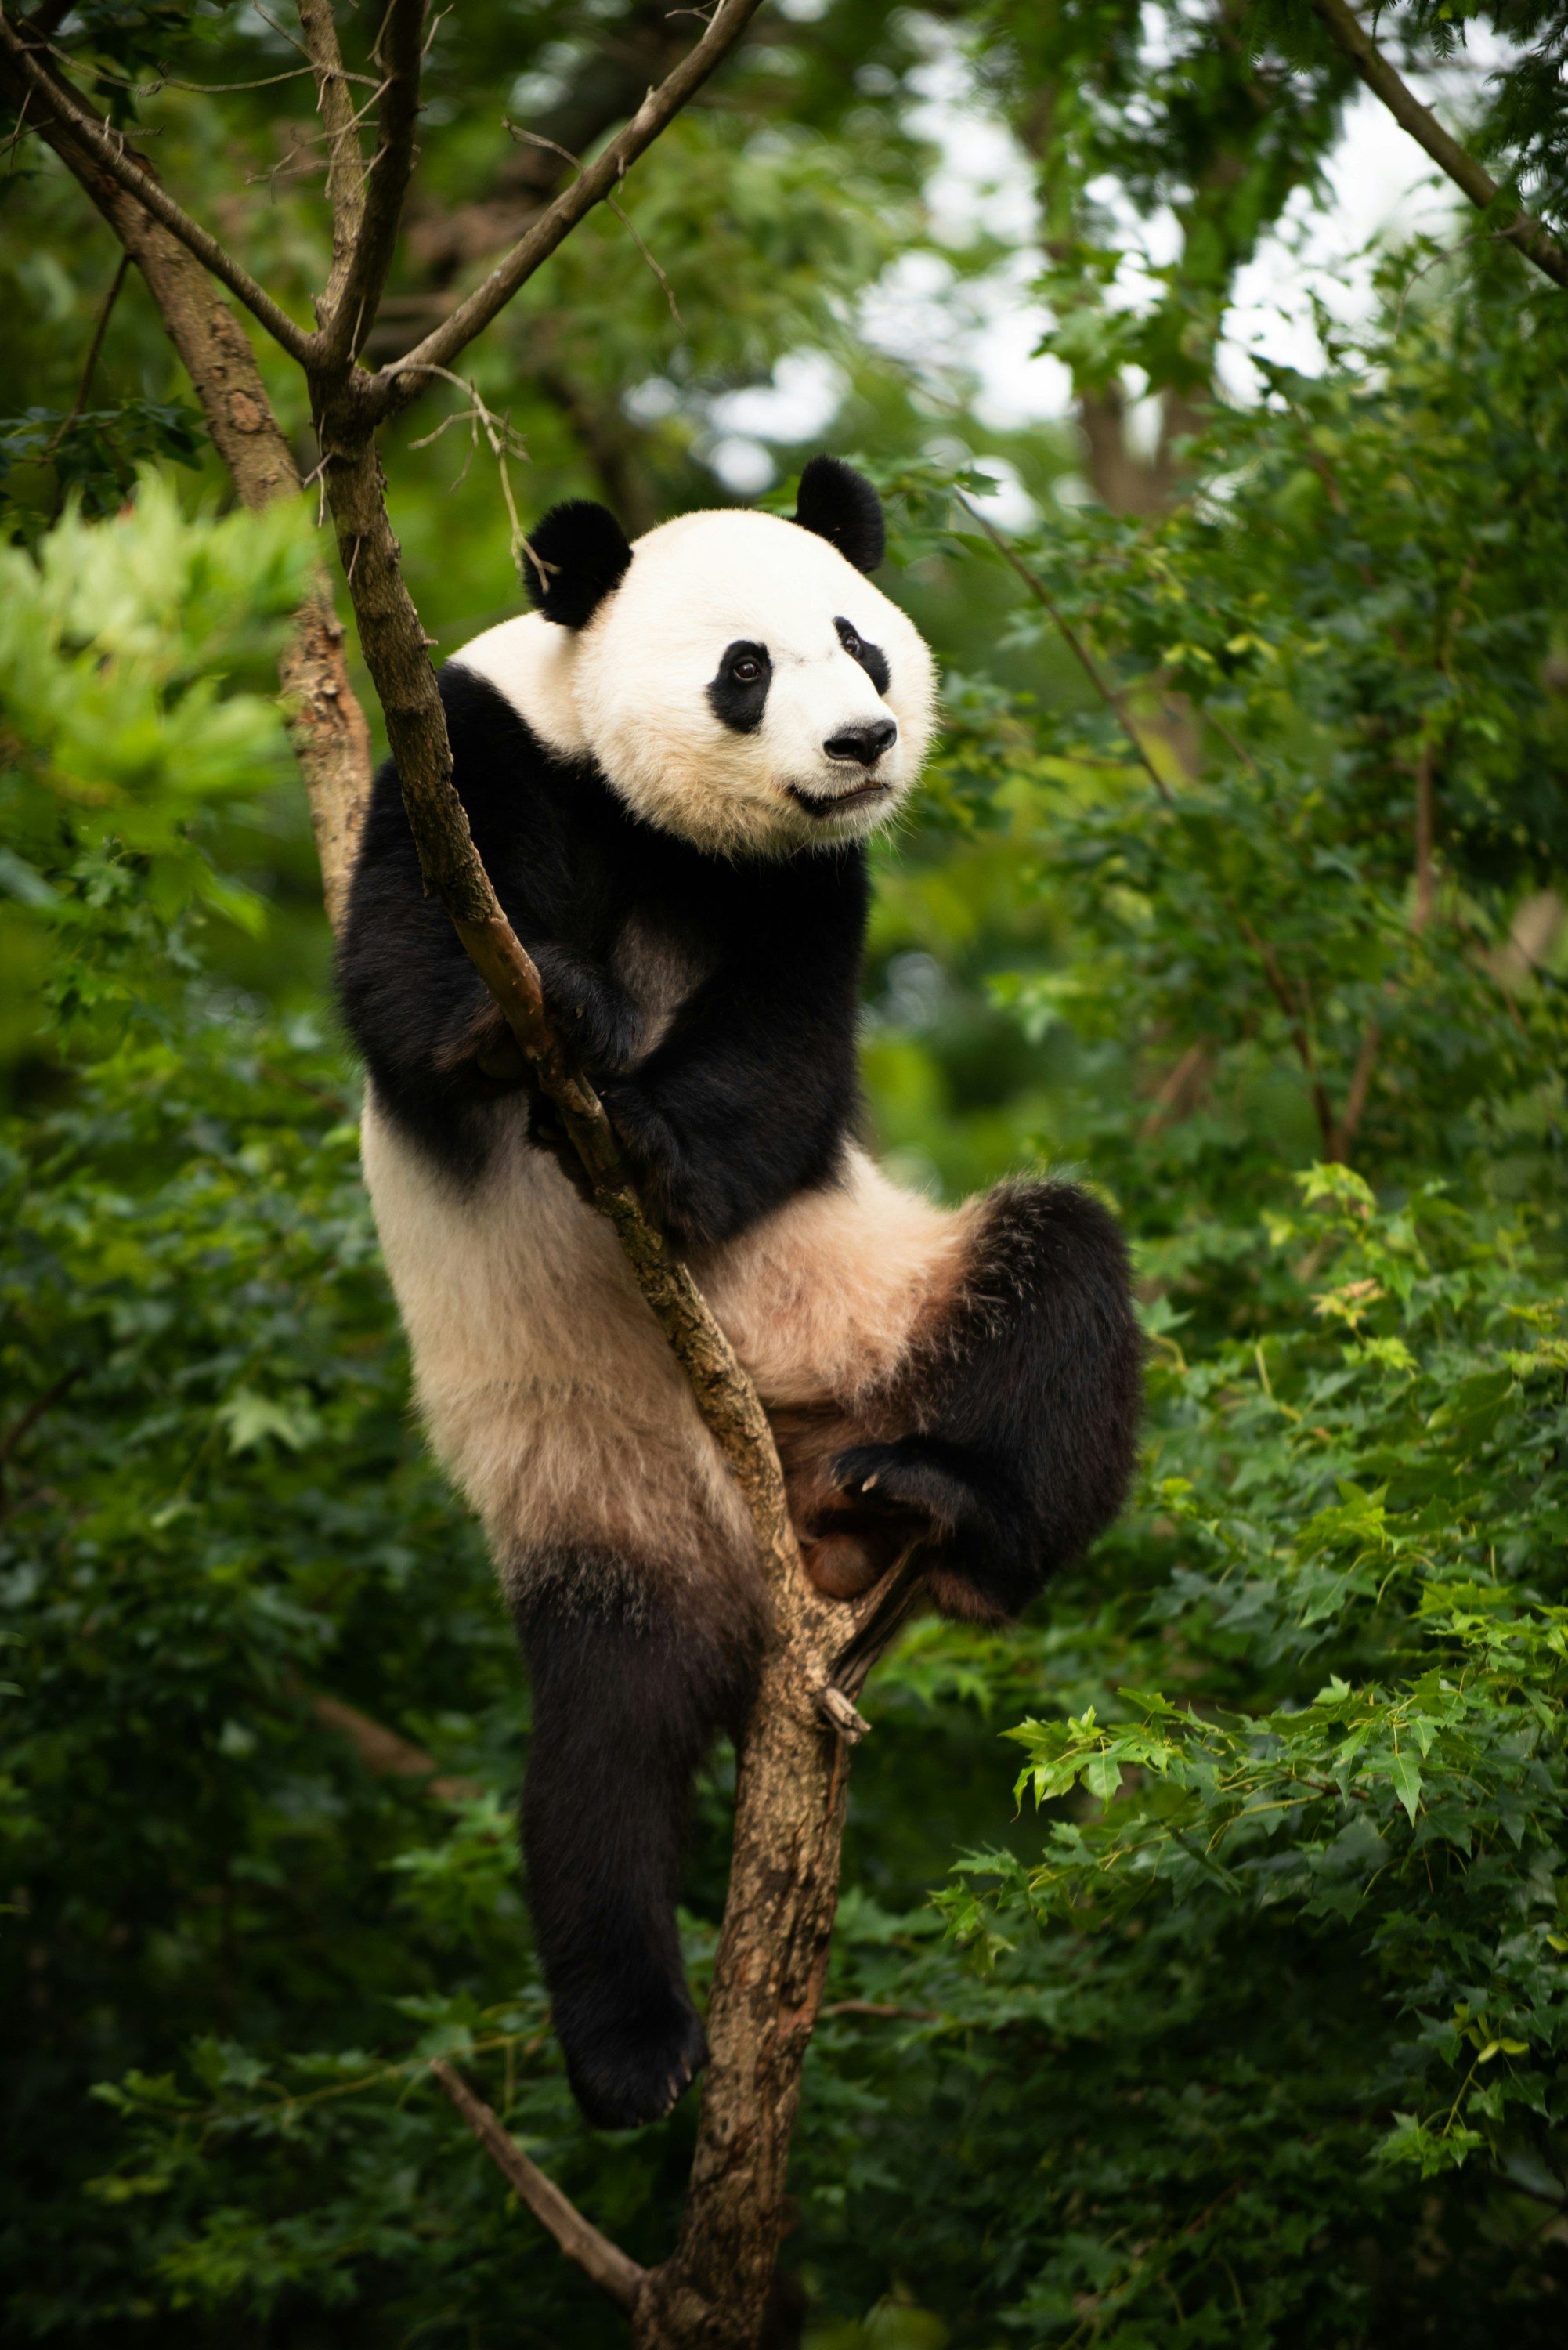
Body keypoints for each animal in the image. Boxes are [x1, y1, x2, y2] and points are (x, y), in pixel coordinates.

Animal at [338, 457, 1141, 2132]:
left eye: (864, 643)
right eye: (747, 669)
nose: (864, 744)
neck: (656, 827)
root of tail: (783, 1528)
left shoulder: (817, 890)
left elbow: (781, 1062)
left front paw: (650, 1146)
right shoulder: (471, 759)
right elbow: (403, 968)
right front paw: (555, 1016)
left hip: (890, 1305)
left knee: (1060, 1280)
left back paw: (947, 1509)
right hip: (601, 1500)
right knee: (600, 1762)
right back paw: (633, 2055)